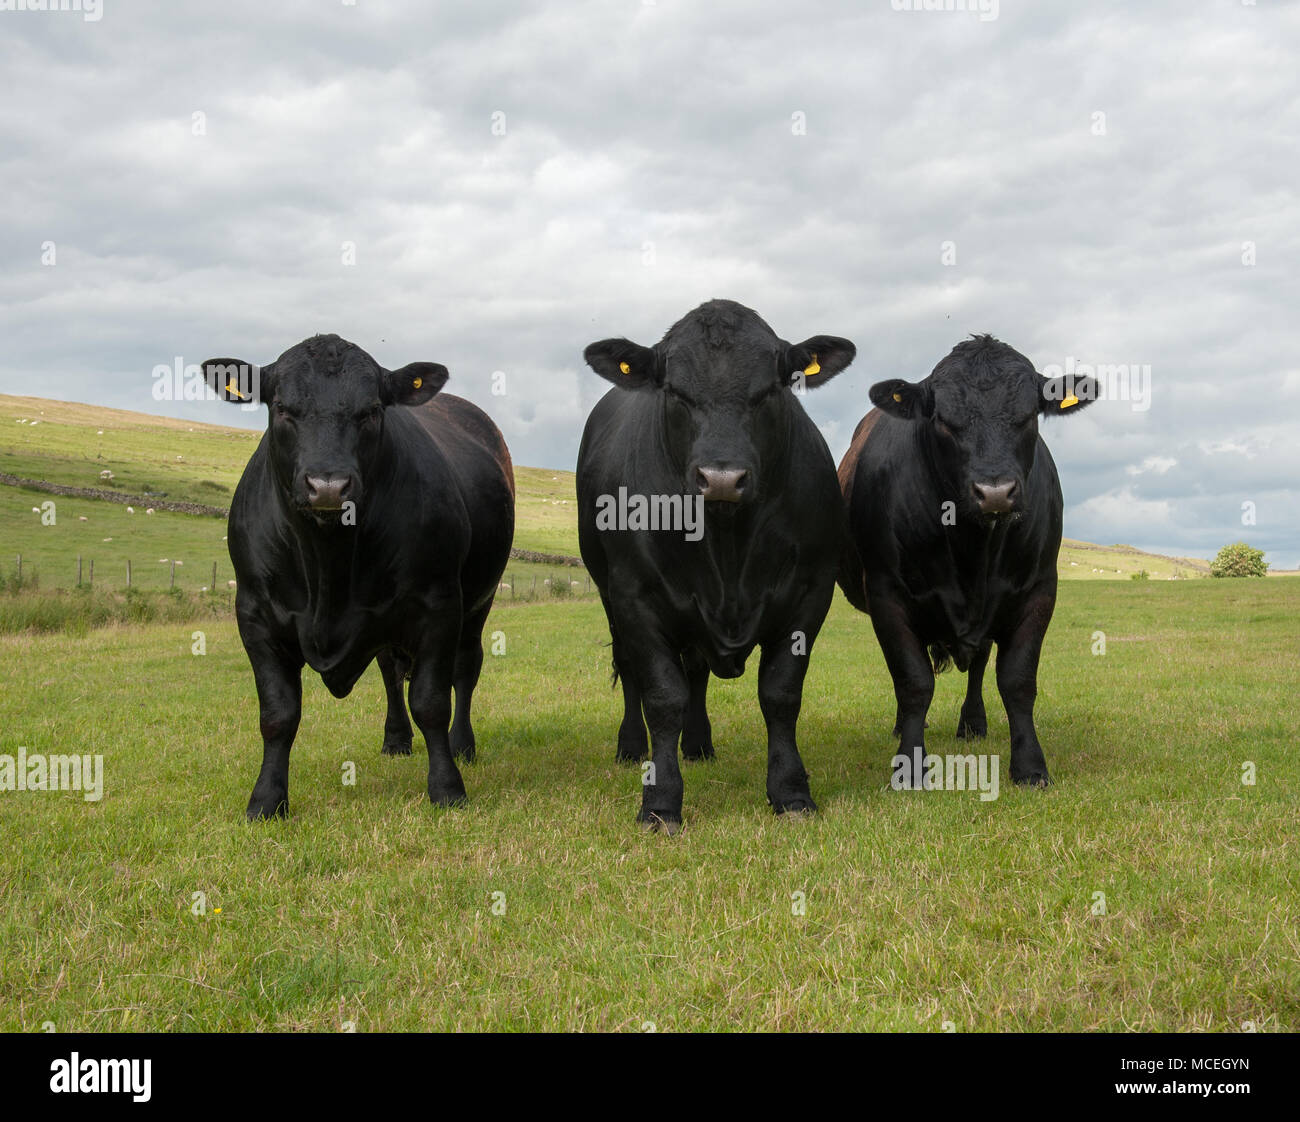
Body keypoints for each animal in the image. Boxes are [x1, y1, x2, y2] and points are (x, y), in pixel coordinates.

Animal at [201, 334, 515, 819]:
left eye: (370, 410)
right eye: (282, 408)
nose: (328, 486)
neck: (328, 561)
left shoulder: (439, 605)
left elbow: (431, 701)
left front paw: (447, 788)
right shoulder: (254, 613)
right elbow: (278, 713)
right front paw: (266, 800)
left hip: (479, 601)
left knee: (465, 668)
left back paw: (463, 745)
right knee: (390, 671)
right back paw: (396, 740)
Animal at [577, 299, 856, 831]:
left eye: (770, 389)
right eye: (675, 391)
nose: (722, 477)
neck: (727, 549)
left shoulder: (811, 592)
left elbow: (781, 692)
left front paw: (791, 793)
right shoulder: (635, 596)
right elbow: (662, 696)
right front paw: (660, 801)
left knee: (698, 671)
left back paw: (699, 744)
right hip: (607, 592)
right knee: (632, 670)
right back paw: (631, 746)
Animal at [837, 334, 1096, 788]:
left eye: (1029, 415)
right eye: (942, 419)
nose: (994, 492)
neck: (973, 548)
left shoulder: (1039, 590)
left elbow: (1017, 680)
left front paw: (1030, 766)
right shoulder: (887, 594)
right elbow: (913, 681)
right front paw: (910, 764)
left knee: (978, 663)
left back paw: (973, 722)